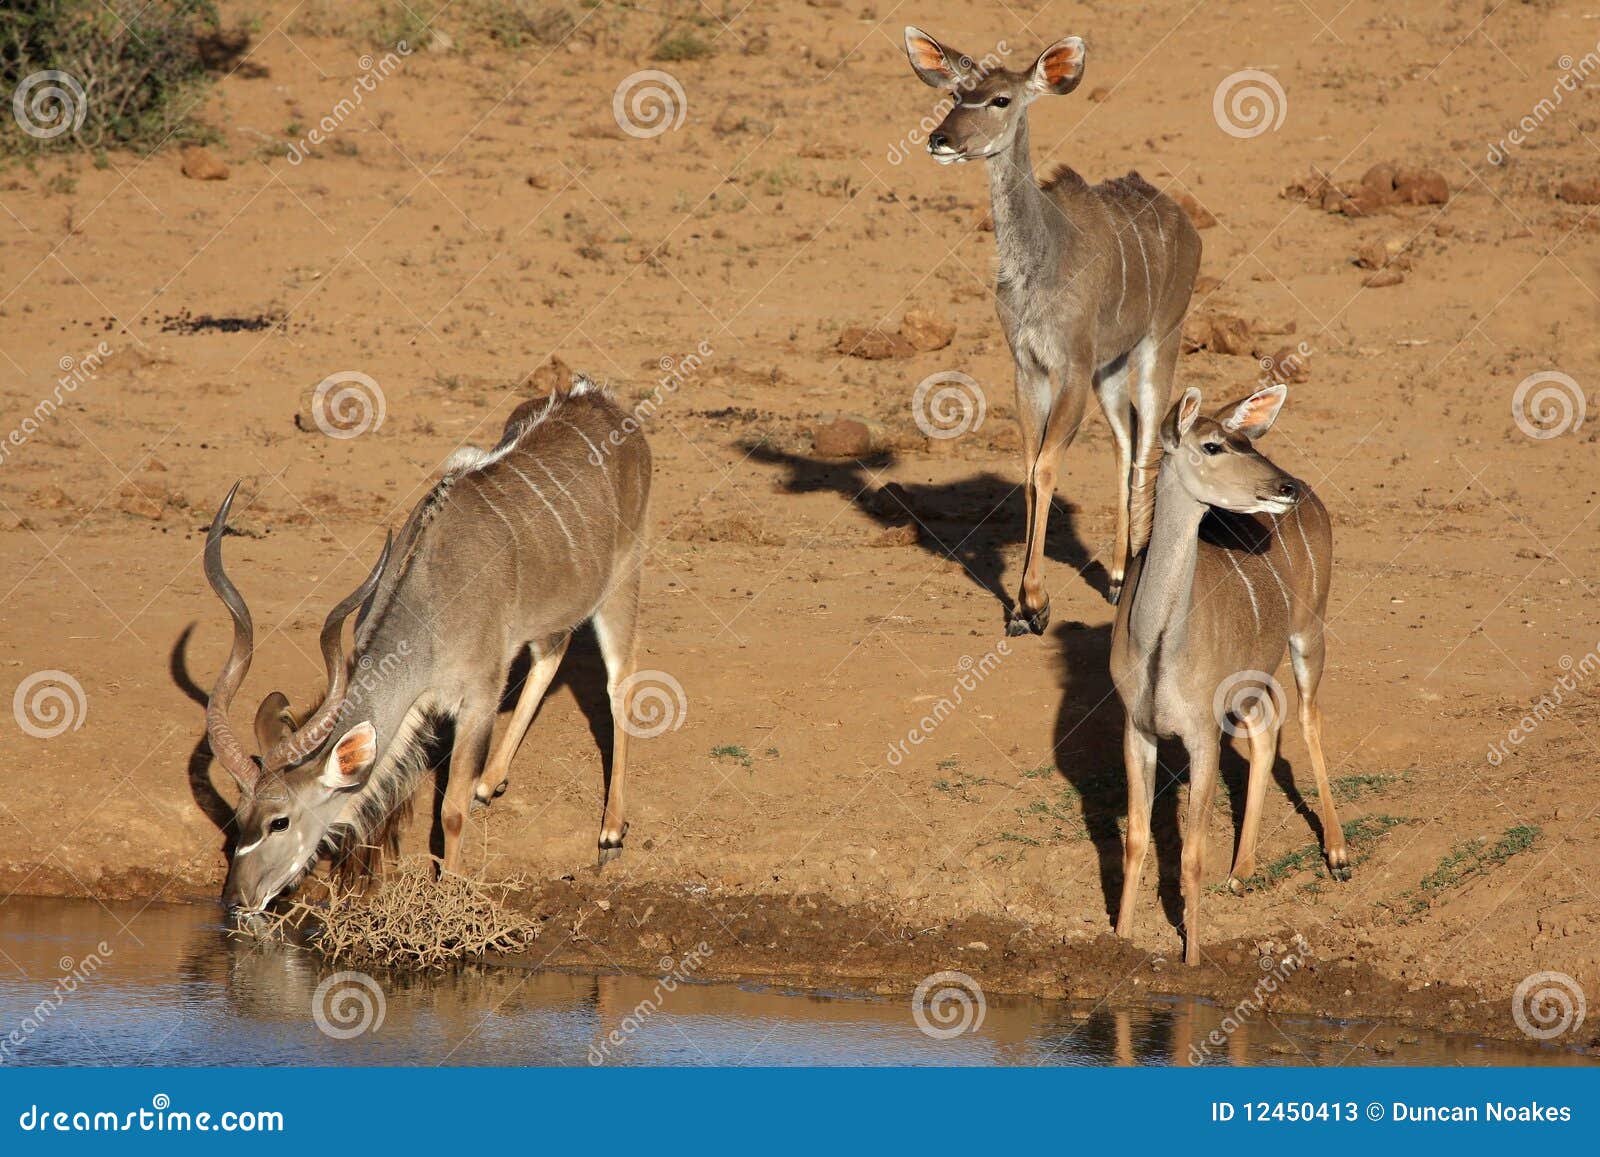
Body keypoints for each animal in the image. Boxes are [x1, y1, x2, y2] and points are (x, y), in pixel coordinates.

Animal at [205, 377, 651, 916]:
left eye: (280, 821)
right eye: (239, 814)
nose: (236, 898)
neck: (432, 599)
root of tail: (597, 397)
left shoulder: (479, 697)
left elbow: (452, 809)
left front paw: (450, 900)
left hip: (623, 580)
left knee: (620, 683)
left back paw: (610, 833)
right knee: (553, 652)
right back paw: (491, 782)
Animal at [903, 28, 1201, 632]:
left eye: (1000, 99)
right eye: (956, 94)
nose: (941, 139)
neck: (1040, 265)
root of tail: (1188, 227)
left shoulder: (1071, 366)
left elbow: (1044, 467)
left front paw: (1035, 603)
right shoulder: (1029, 366)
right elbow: (1028, 467)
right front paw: (1019, 608)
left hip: (1159, 342)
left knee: (1146, 445)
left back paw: (1135, 575)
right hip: (1110, 369)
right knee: (1125, 438)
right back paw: (1115, 576)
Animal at [1109, 384, 1348, 965]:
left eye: (1247, 441)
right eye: (1213, 445)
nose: (1284, 487)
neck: (1159, 647)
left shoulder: (1201, 734)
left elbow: (1192, 853)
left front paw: (1192, 958)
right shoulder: (1137, 727)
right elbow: (1136, 837)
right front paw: (1119, 939)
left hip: (1309, 631)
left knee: (1307, 718)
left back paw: (1337, 853)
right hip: (1248, 680)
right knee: (1266, 730)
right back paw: (1241, 872)